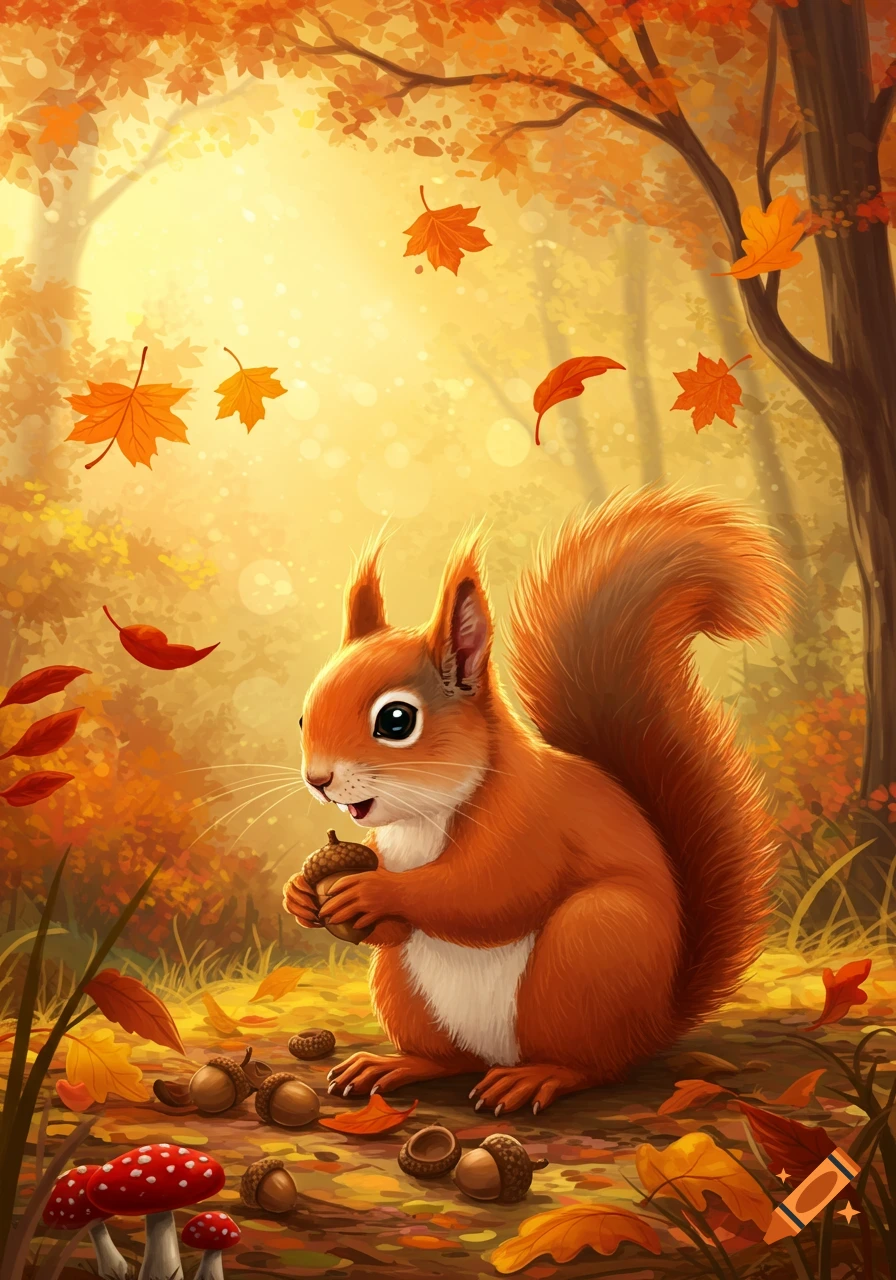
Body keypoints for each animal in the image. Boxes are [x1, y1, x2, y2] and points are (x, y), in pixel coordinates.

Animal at [283, 487, 790, 1115]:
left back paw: (536, 1077)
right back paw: (396, 1064)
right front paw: (299, 894)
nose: (318, 779)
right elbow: (399, 930)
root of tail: (656, 1025)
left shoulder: (532, 822)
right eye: (303, 715)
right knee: (449, 1057)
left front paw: (375, 890)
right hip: (405, 991)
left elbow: (488, 893)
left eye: (396, 720)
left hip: (588, 947)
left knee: (591, 1066)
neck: (425, 819)